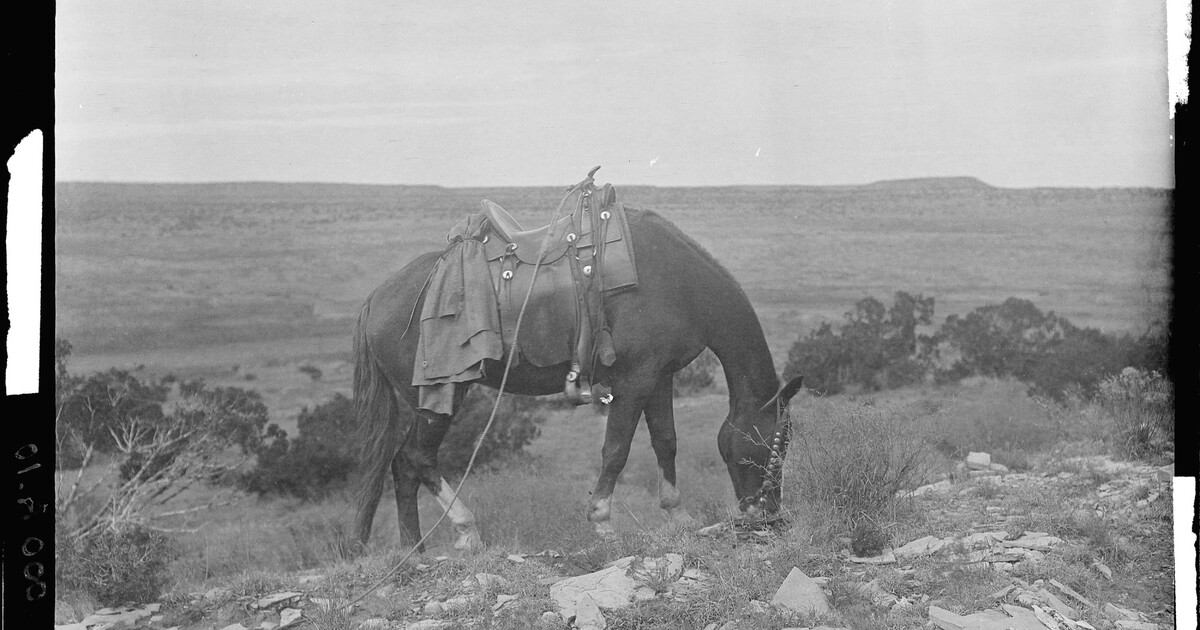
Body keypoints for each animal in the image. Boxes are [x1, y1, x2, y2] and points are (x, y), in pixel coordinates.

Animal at [351, 199, 804, 552]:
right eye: (771, 444)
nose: (768, 515)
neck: (679, 283)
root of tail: (374, 299)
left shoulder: (659, 377)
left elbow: (666, 443)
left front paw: (677, 516)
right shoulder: (634, 380)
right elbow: (616, 450)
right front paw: (602, 522)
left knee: (402, 466)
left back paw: (415, 551)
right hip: (441, 395)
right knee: (417, 458)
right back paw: (465, 532)